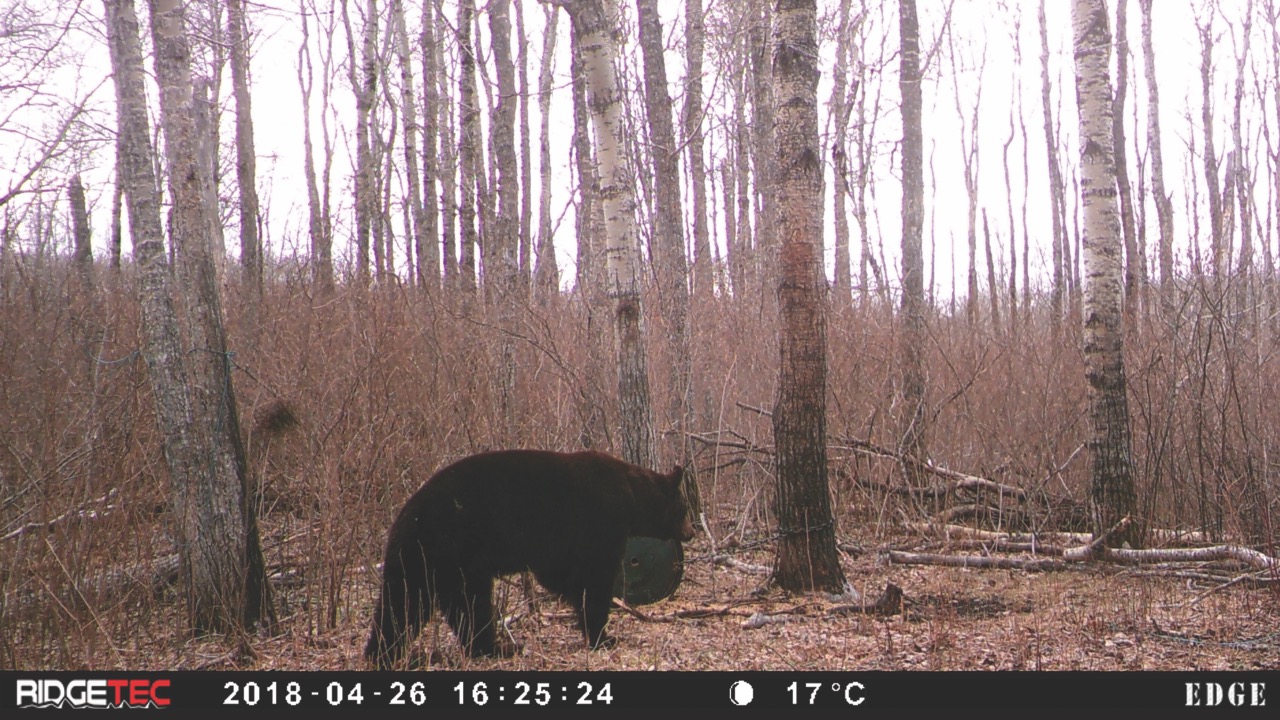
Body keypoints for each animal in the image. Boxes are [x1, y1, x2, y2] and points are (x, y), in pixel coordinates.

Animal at [364, 449, 694, 667]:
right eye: (684, 510)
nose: (691, 533)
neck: (630, 494)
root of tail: (406, 516)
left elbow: (562, 576)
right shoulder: (599, 525)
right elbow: (593, 581)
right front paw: (603, 636)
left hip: (430, 560)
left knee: (411, 600)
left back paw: (381, 652)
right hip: (449, 549)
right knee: (457, 603)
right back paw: (496, 648)